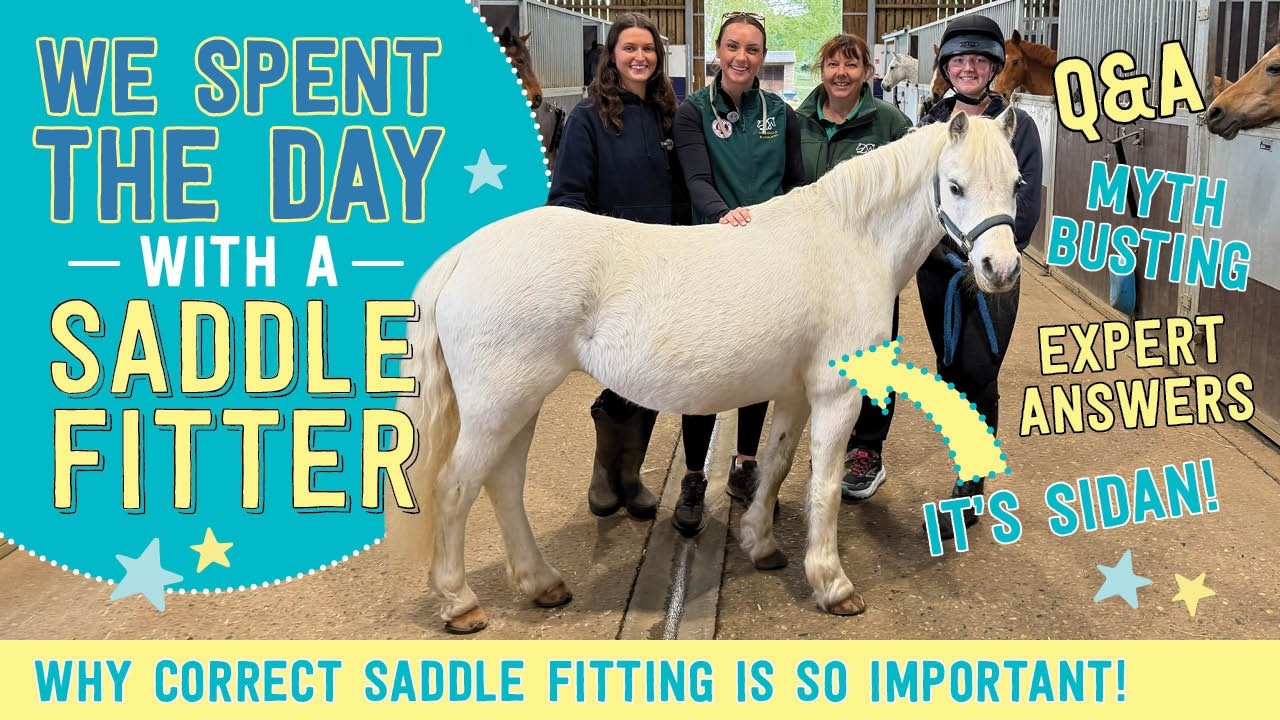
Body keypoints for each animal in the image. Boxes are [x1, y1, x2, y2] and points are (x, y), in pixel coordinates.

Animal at [387, 110, 1024, 634]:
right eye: (956, 186)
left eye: (1017, 183)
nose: (1000, 269)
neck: (847, 241)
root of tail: (465, 253)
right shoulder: (835, 394)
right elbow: (822, 486)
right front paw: (833, 584)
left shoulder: (796, 393)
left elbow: (776, 464)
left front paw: (761, 545)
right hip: (499, 405)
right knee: (455, 489)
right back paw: (461, 604)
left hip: (518, 404)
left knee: (503, 484)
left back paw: (542, 584)